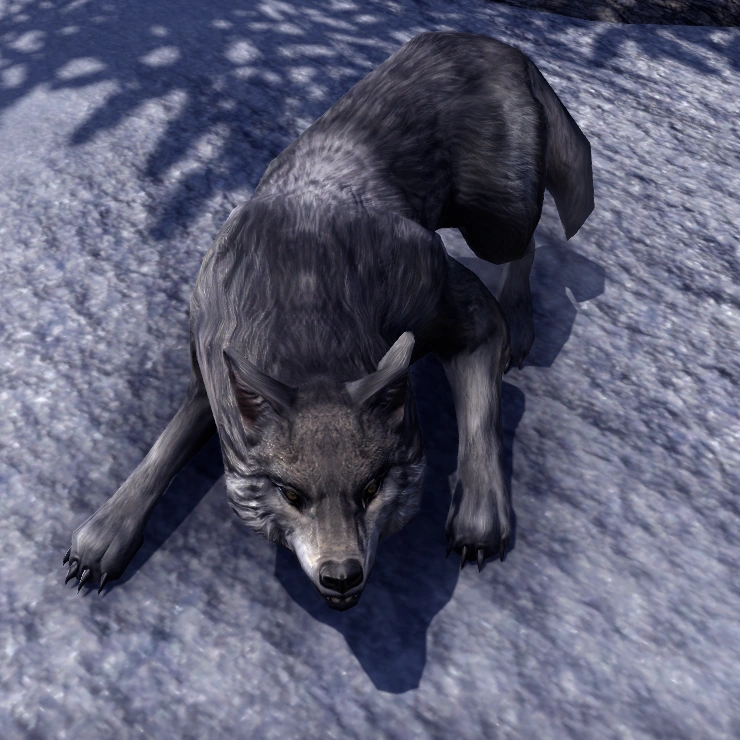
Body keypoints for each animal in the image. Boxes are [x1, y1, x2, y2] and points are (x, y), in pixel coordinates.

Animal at [63, 31, 593, 610]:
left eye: (372, 489)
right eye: (292, 494)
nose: (342, 576)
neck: (303, 315)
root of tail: (499, 45)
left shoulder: (446, 301)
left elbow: (482, 413)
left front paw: (479, 515)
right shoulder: (213, 365)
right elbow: (165, 446)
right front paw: (106, 532)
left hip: (496, 221)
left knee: (529, 240)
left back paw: (521, 321)